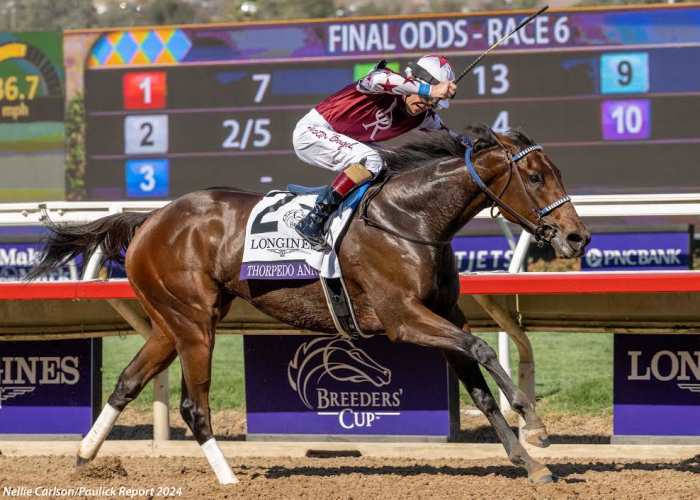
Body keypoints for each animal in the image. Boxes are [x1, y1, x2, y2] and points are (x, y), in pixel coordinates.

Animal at [29, 125, 590, 485]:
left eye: (558, 171)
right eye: (535, 177)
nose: (577, 237)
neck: (411, 219)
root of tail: (149, 219)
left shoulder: (442, 314)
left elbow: (479, 388)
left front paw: (531, 464)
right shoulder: (403, 319)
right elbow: (483, 349)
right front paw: (536, 424)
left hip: (172, 323)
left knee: (126, 382)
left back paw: (85, 458)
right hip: (193, 323)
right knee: (194, 406)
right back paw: (229, 479)